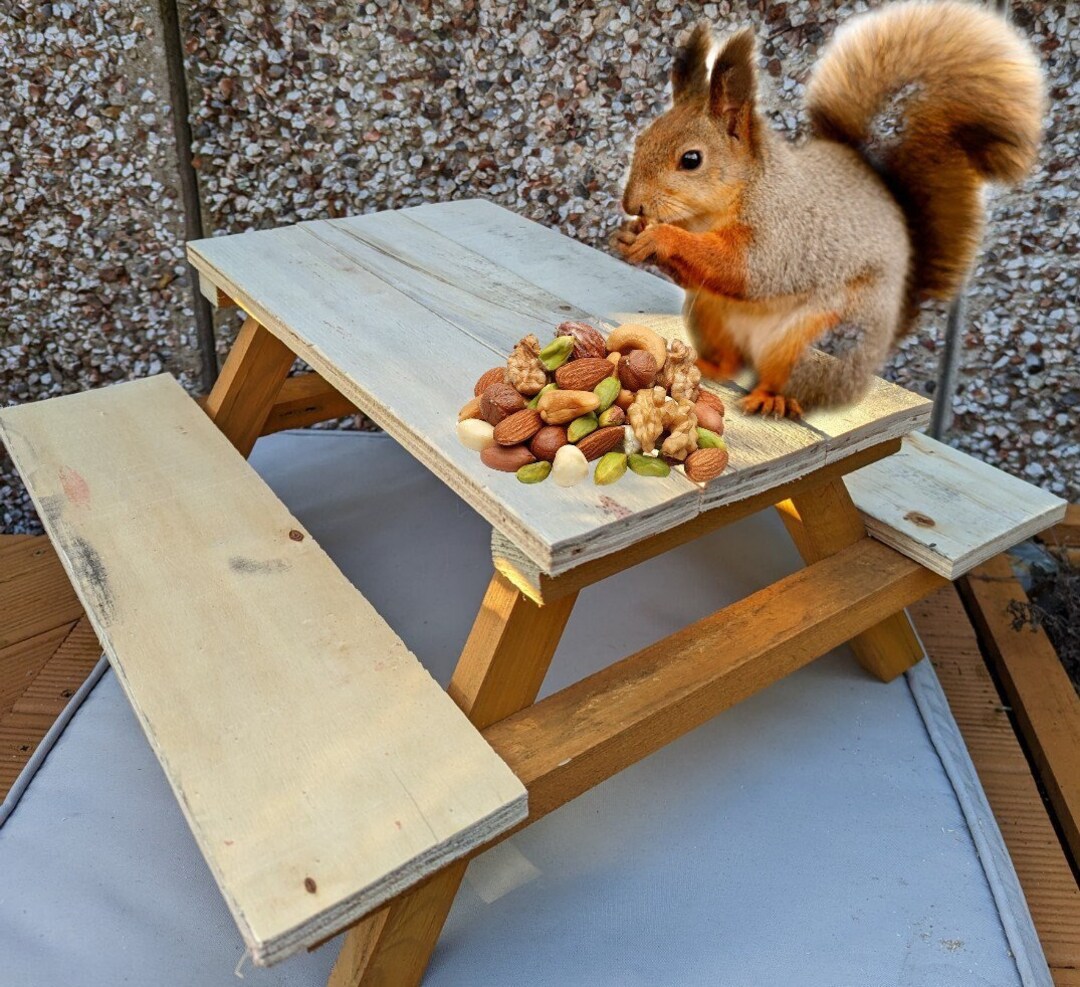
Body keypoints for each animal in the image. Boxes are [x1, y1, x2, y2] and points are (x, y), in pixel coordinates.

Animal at [615, 1, 1045, 418]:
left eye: (691, 159)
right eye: (640, 140)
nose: (631, 203)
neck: (713, 212)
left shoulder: (783, 234)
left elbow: (745, 268)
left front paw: (660, 237)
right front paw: (629, 234)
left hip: (815, 338)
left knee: (788, 376)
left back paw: (771, 398)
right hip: (708, 313)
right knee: (731, 361)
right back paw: (704, 368)